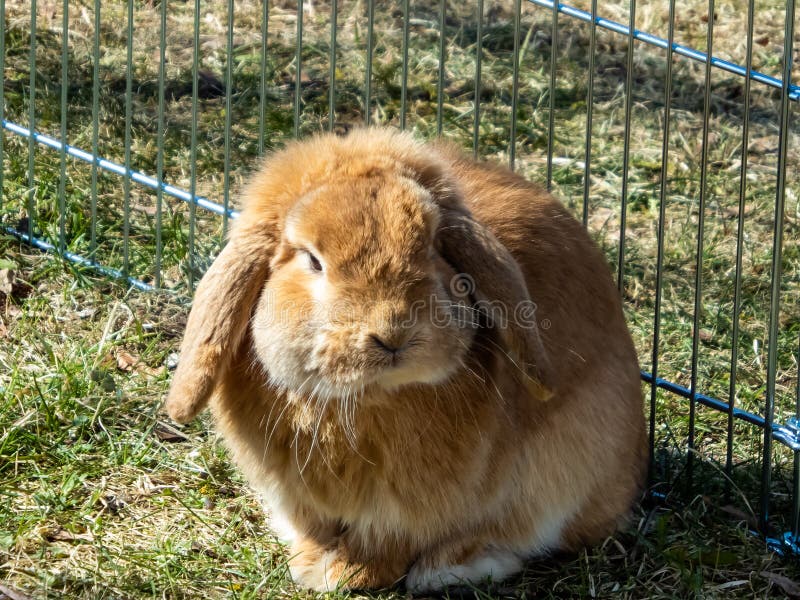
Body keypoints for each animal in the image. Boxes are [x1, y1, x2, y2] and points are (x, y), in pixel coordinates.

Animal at [164, 127, 647, 592]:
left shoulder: (405, 512)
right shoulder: (300, 498)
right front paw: (309, 562)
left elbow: (386, 545)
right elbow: (316, 529)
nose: (394, 333)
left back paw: (448, 568)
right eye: (312, 261)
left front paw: (343, 575)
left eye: (432, 247)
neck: (364, 400)